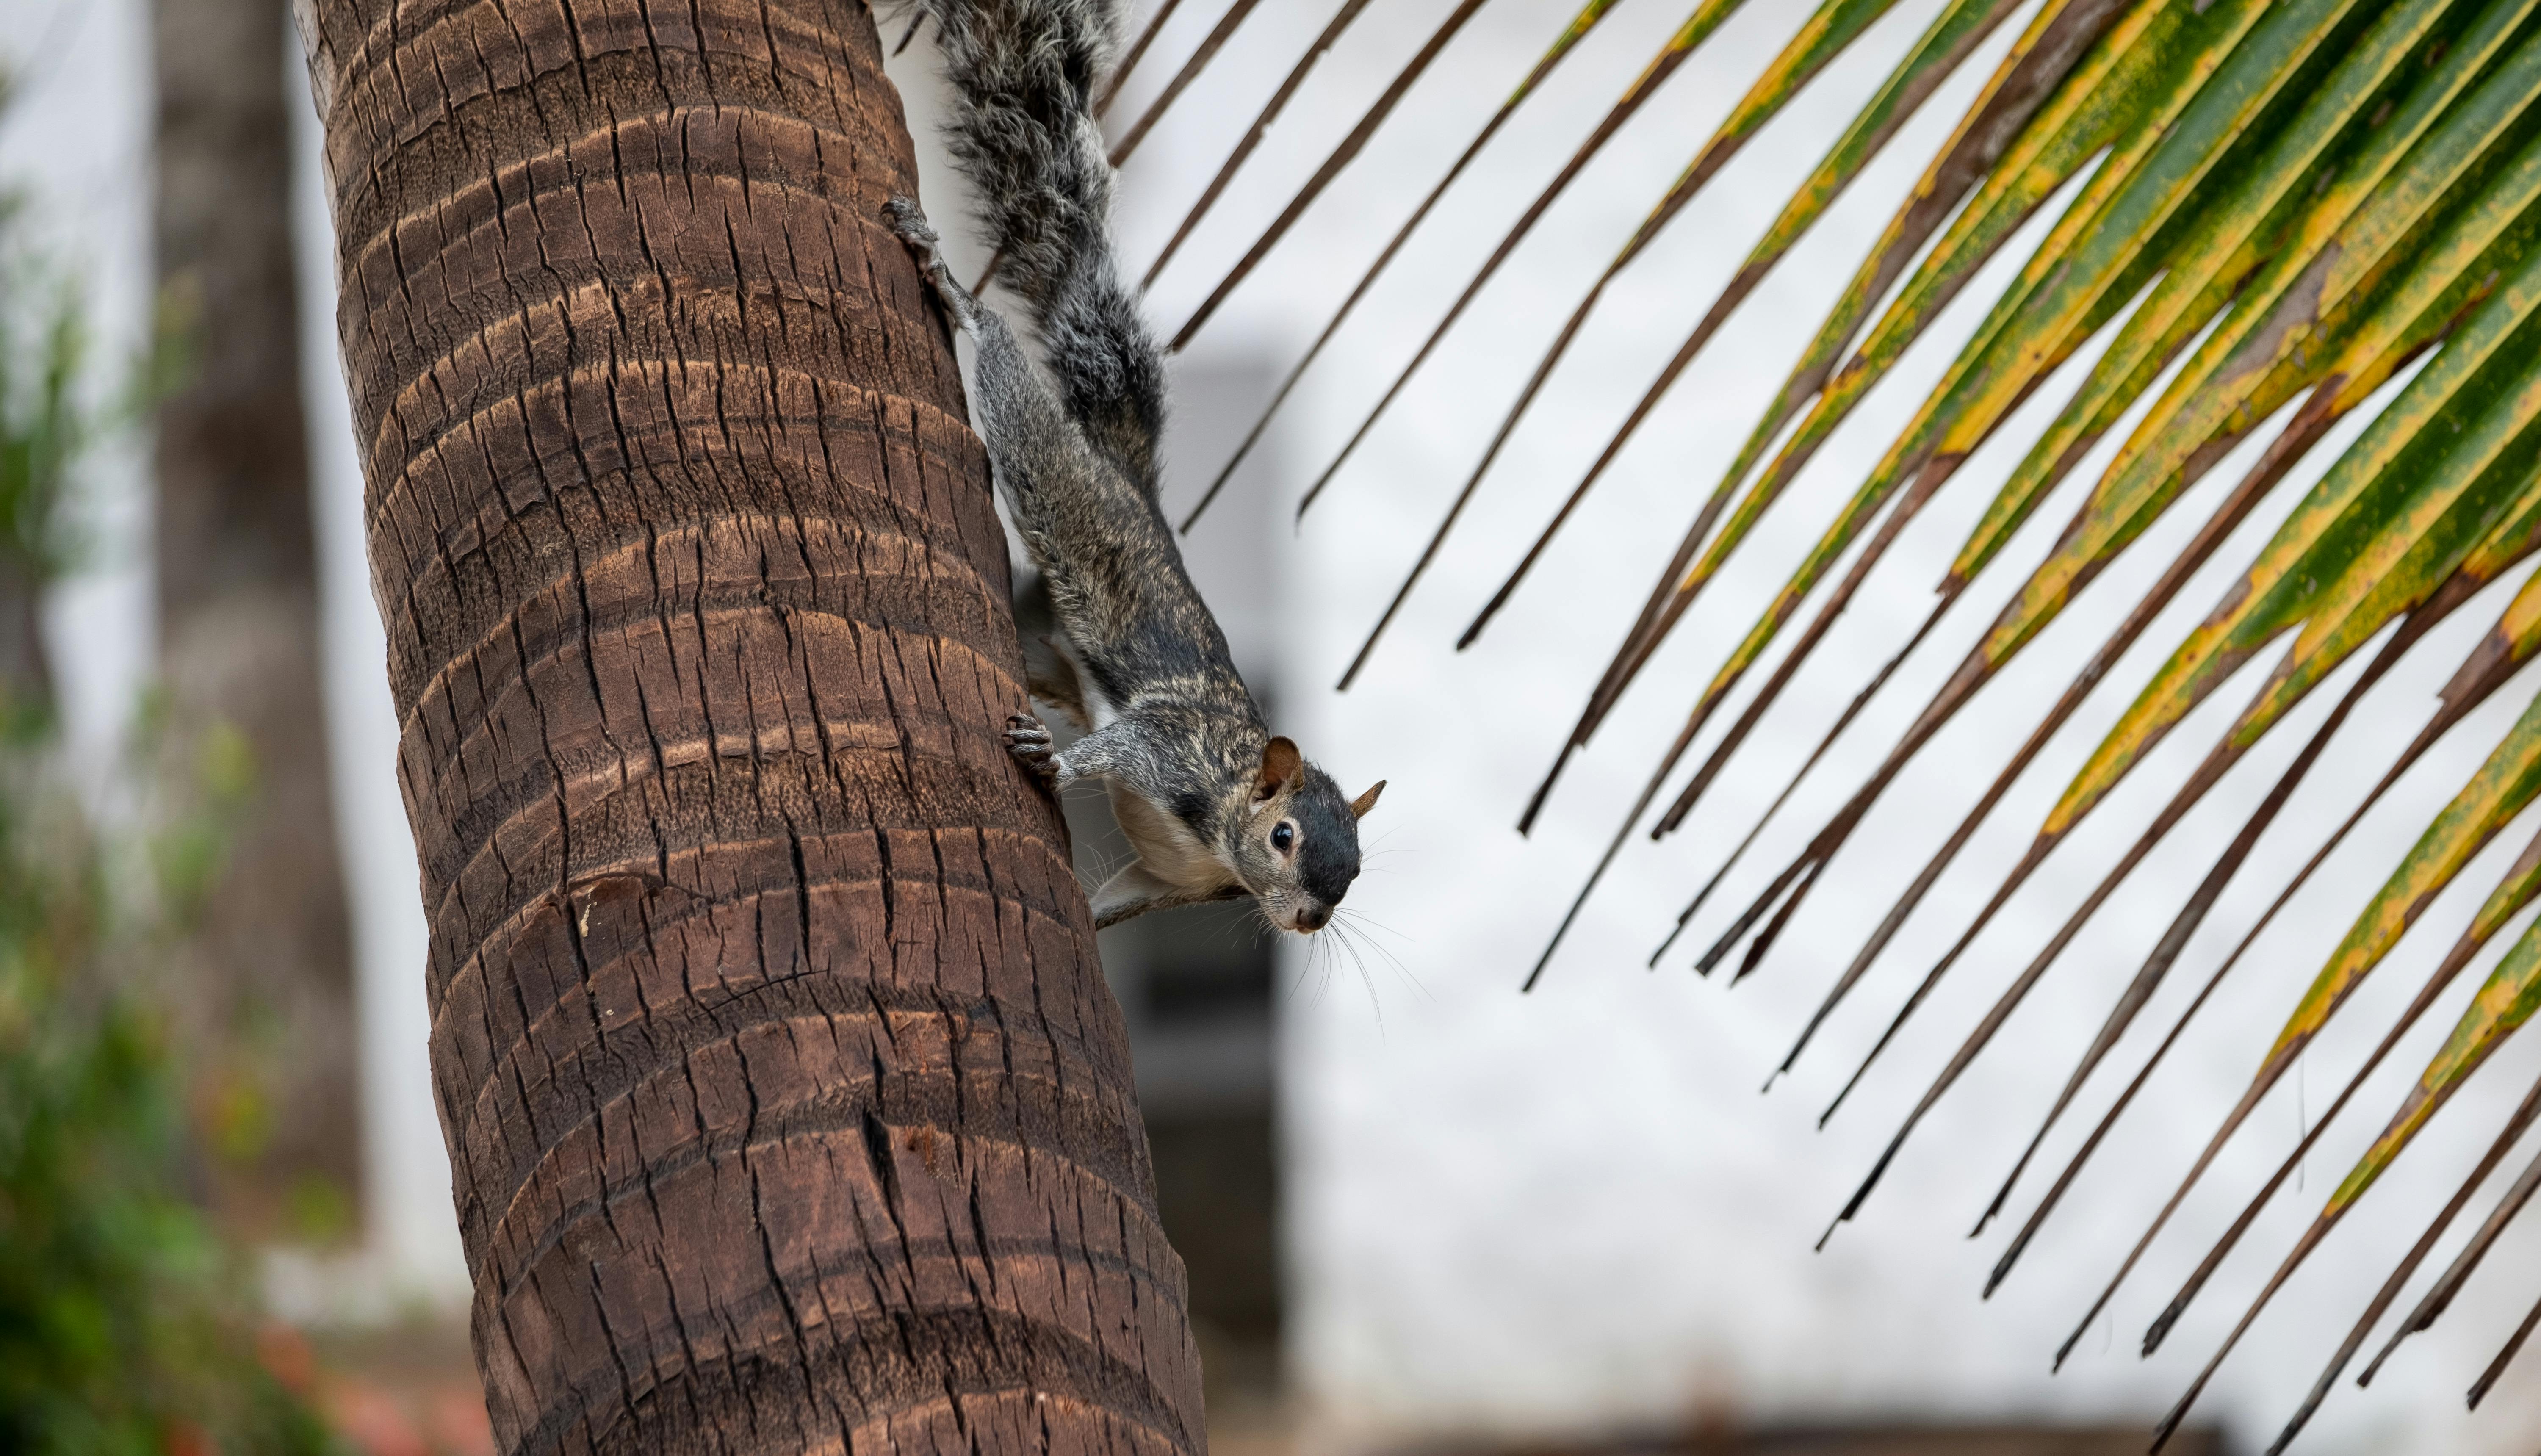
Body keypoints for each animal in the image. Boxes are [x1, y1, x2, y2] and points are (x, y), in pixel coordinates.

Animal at [887, 0, 1385, 934]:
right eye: (1286, 837)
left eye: (1360, 868)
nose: (1311, 918)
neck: (1220, 831)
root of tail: (1133, 486)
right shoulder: (1170, 751)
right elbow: (1115, 745)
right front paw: (1053, 762)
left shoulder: (1166, 882)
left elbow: (1114, 901)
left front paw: (1080, 918)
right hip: (1061, 484)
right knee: (1009, 380)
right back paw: (951, 285)